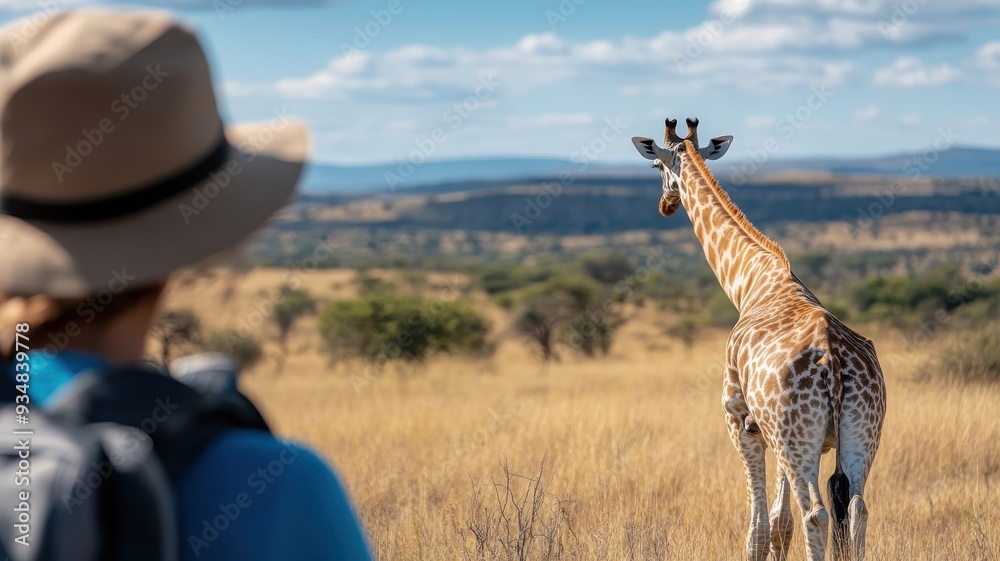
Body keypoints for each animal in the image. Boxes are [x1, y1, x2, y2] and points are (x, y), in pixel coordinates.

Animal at [631, 118, 886, 561]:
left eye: (655, 166)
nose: (665, 205)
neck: (751, 281)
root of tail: (835, 362)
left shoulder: (740, 421)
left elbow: (758, 529)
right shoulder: (780, 435)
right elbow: (781, 525)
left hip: (798, 437)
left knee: (816, 514)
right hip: (858, 435)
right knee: (856, 510)